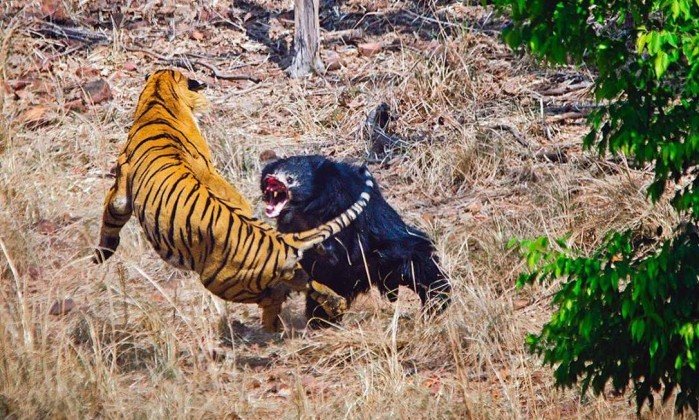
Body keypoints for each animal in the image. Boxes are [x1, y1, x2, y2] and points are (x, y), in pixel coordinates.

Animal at [93, 69, 374, 331]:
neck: (160, 98)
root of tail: (281, 240)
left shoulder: (121, 187)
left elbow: (111, 215)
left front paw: (101, 254)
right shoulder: (210, 171)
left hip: (220, 281)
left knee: (274, 295)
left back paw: (271, 325)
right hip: (284, 272)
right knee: (307, 282)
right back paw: (333, 303)